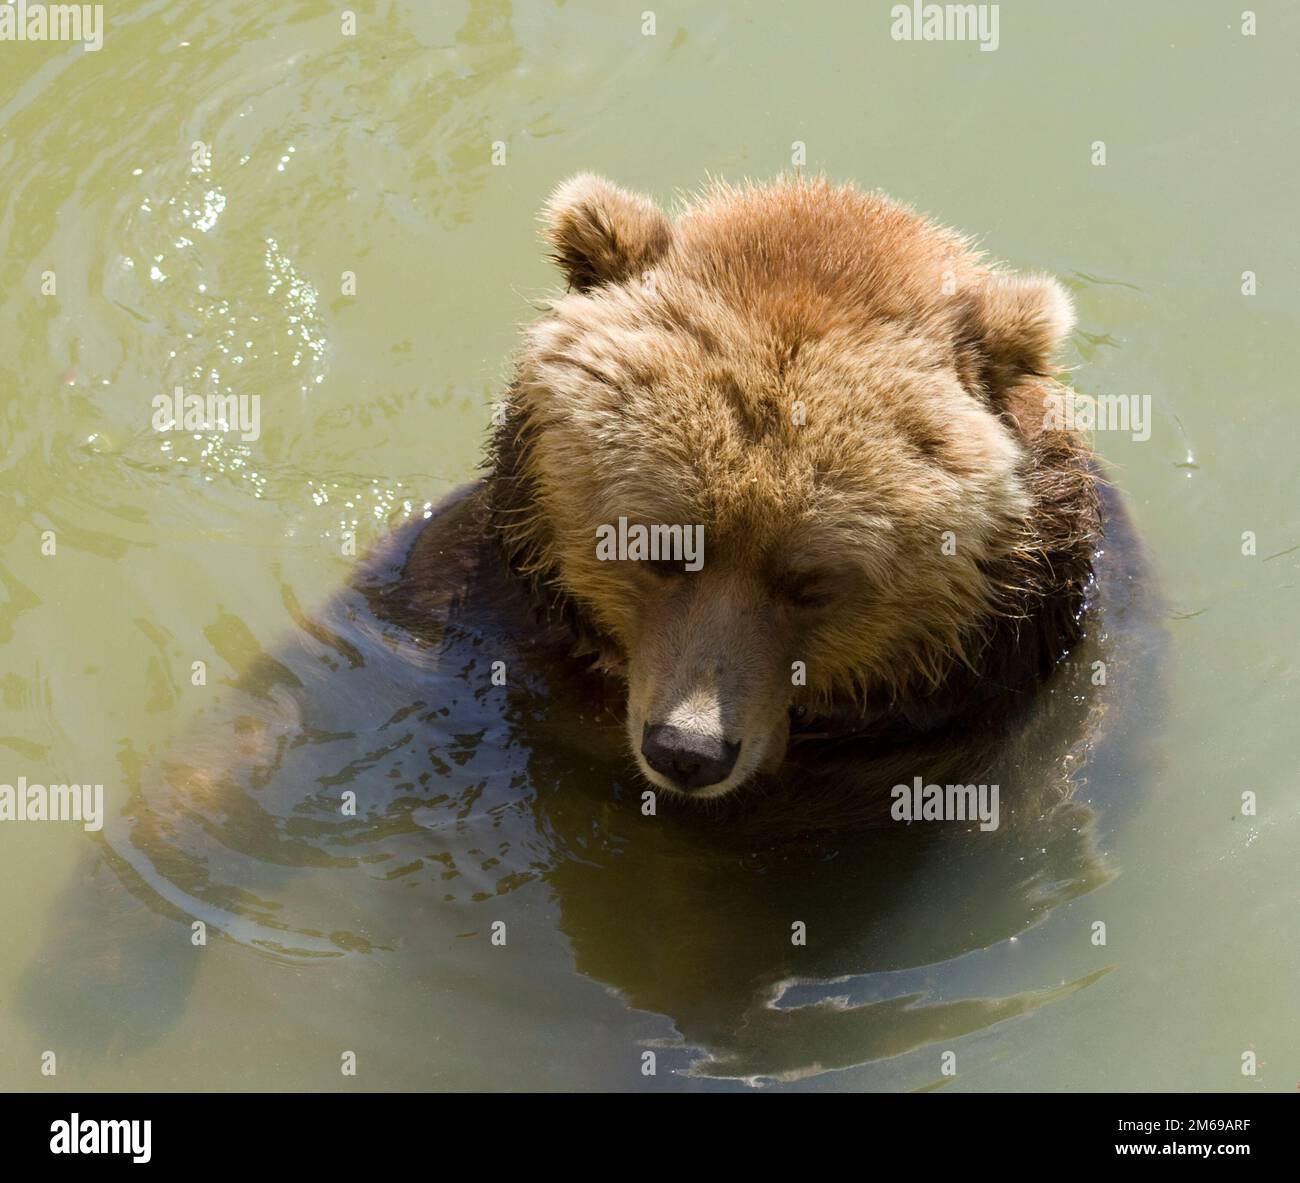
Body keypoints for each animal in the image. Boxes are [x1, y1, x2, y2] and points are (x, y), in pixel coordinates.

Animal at [19, 174, 1161, 1084]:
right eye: (658, 544)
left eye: (812, 579)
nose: (688, 747)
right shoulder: (466, 617)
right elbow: (279, 721)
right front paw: (95, 972)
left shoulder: (901, 764)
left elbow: (730, 948)